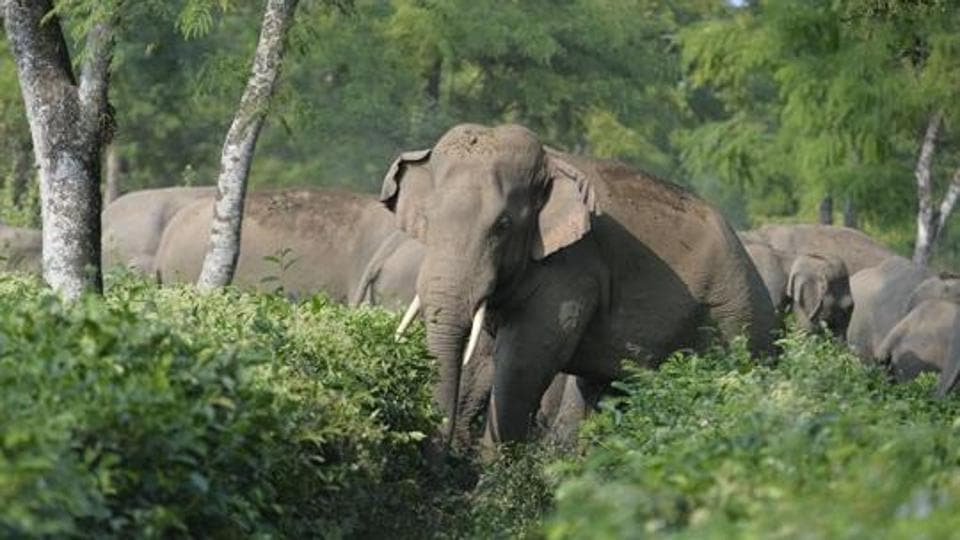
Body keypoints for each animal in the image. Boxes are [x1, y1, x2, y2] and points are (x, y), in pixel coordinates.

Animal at [384, 123, 778, 444]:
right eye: (427, 218)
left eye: (503, 225)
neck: (551, 162)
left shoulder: (573, 268)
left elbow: (522, 364)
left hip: (735, 323)